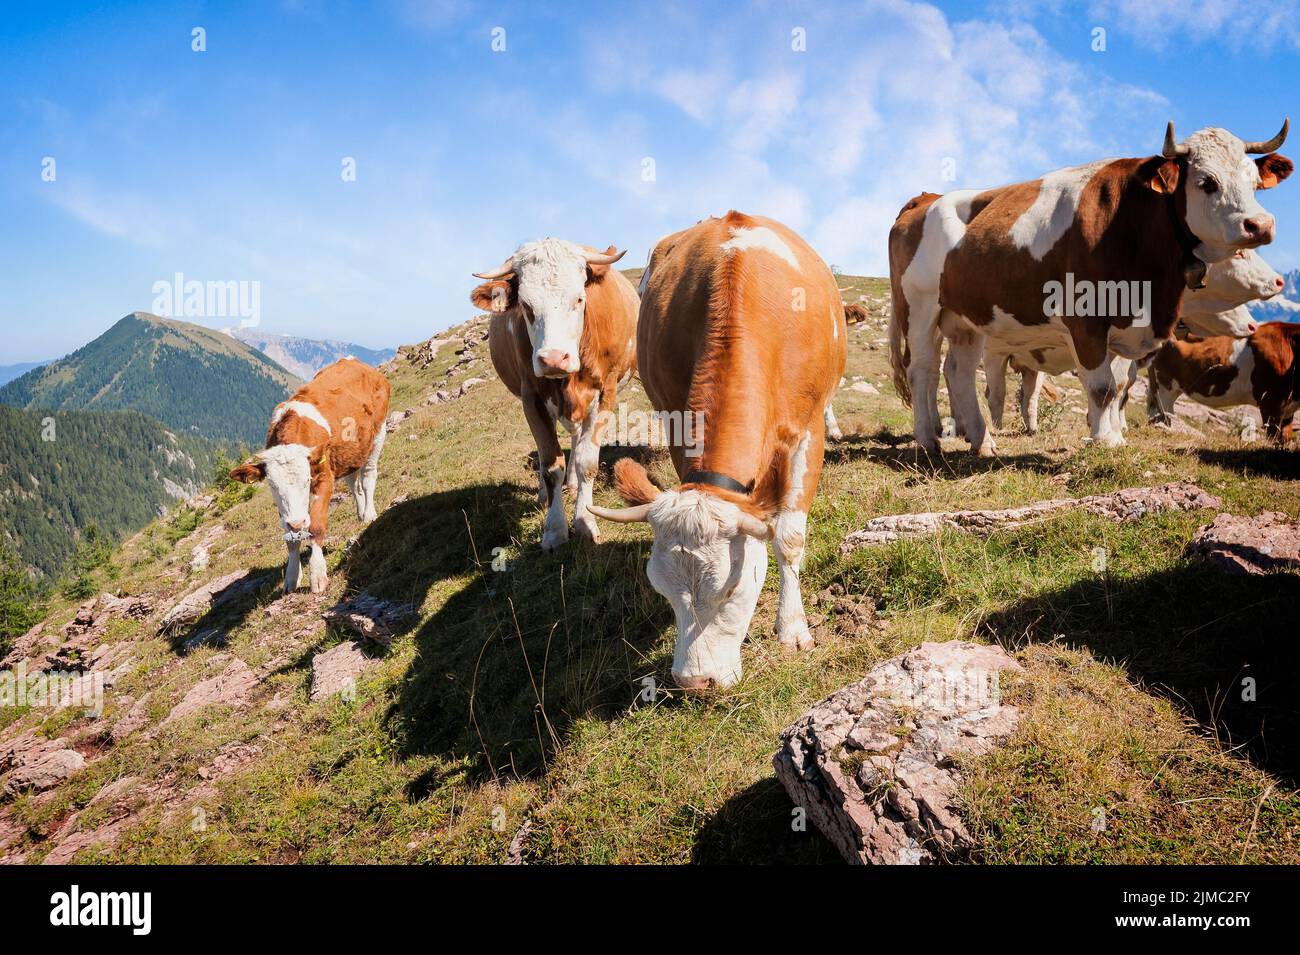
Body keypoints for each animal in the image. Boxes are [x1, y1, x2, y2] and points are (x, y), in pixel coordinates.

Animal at [229, 358, 390, 594]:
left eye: (307, 481)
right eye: (273, 486)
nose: (297, 523)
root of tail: (354, 361)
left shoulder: (324, 478)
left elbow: (316, 526)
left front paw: (317, 575)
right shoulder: (285, 508)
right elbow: (291, 539)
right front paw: (292, 576)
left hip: (378, 433)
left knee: (369, 477)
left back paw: (369, 514)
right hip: (350, 452)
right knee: (354, 483)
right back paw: (360, 513)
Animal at [470, 239, 638, 550]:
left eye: (580, 300)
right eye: (526, 305)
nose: (553, 359)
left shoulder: (605, 393)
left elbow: (586, 461)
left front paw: (584, 521)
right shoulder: (531, 398)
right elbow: (550, 465)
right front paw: (555, 529)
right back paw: (543, 494)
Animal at [587, 212, 847, 691]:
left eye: (731, 590)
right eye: (662, 591)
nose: (694, 682)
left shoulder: (808, 431)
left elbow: (789, 537)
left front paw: (793, 627)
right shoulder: (676, 423)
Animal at [984, 248, 1287, 433]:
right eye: (1239, 253)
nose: (1279, 280)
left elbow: (1121, 388)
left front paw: (1112, 427)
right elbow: (1113, 387)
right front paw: (1107, 429)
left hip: (1030, 361)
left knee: (1029, 394)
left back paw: (1030, 428)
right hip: (994, 351)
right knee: (994, 392)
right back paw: (996, 430)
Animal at [1150, 321, 1300, 442]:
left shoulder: (1287, 410)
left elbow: (1284, 439)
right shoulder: (1271, 403)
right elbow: (1274, 438)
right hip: (1163, 386)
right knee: (1164, 411)